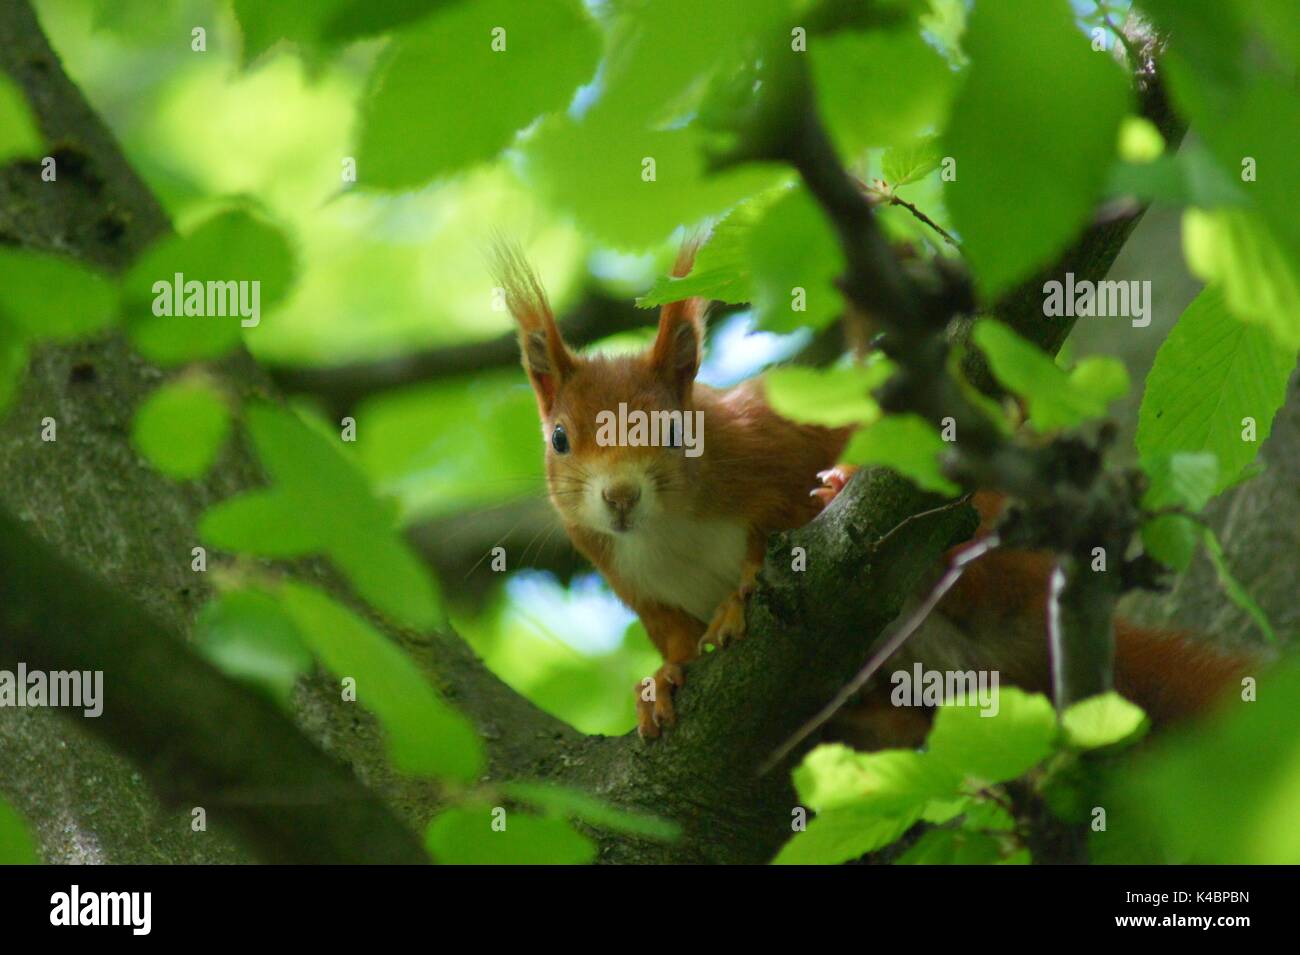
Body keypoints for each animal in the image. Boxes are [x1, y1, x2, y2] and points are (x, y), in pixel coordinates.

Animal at [495, 243, 1250, 743]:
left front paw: (740, 598)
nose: (620, 497)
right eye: (559, 439)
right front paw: (659, 684)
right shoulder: (632, 580)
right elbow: (674, 639)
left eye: (678, 429)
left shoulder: (769, 445)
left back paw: (843, 494)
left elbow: (769, 528)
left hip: (984, 546)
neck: (670, 529)